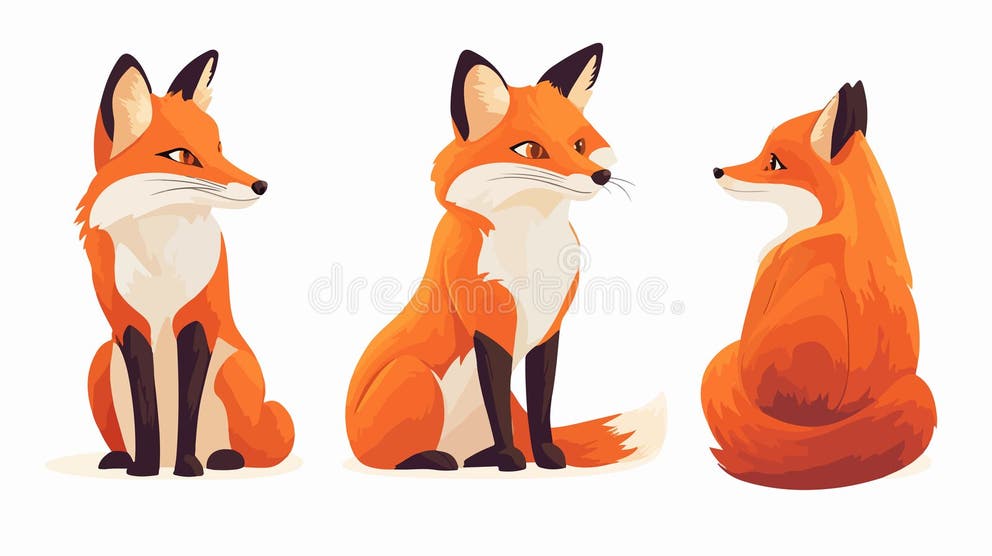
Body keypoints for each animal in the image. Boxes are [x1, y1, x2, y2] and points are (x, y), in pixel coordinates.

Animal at [76, 51, 294, 476]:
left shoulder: (198, 320)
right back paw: (125, 458)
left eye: (220, 147)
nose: (260, 185)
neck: (161, 262)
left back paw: (222, 458)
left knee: (241, 448)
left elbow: (186, 411)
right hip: (102, 361)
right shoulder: (129, 325)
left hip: (233, 367)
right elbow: (147, 409)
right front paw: (143, 468)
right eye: (183, 156)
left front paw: (188, 466)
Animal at [345, 44, 665, 472]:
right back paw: (435, 458)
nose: (600, 176)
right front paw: (511, 459)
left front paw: (544, 455)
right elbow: (498, 403)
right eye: (532, 150)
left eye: (579, 145)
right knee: (391, 459)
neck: (530, 251)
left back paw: (479, 458)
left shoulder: (550, 329)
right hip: (414, 376)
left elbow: (541, 406)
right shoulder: (490, 324)